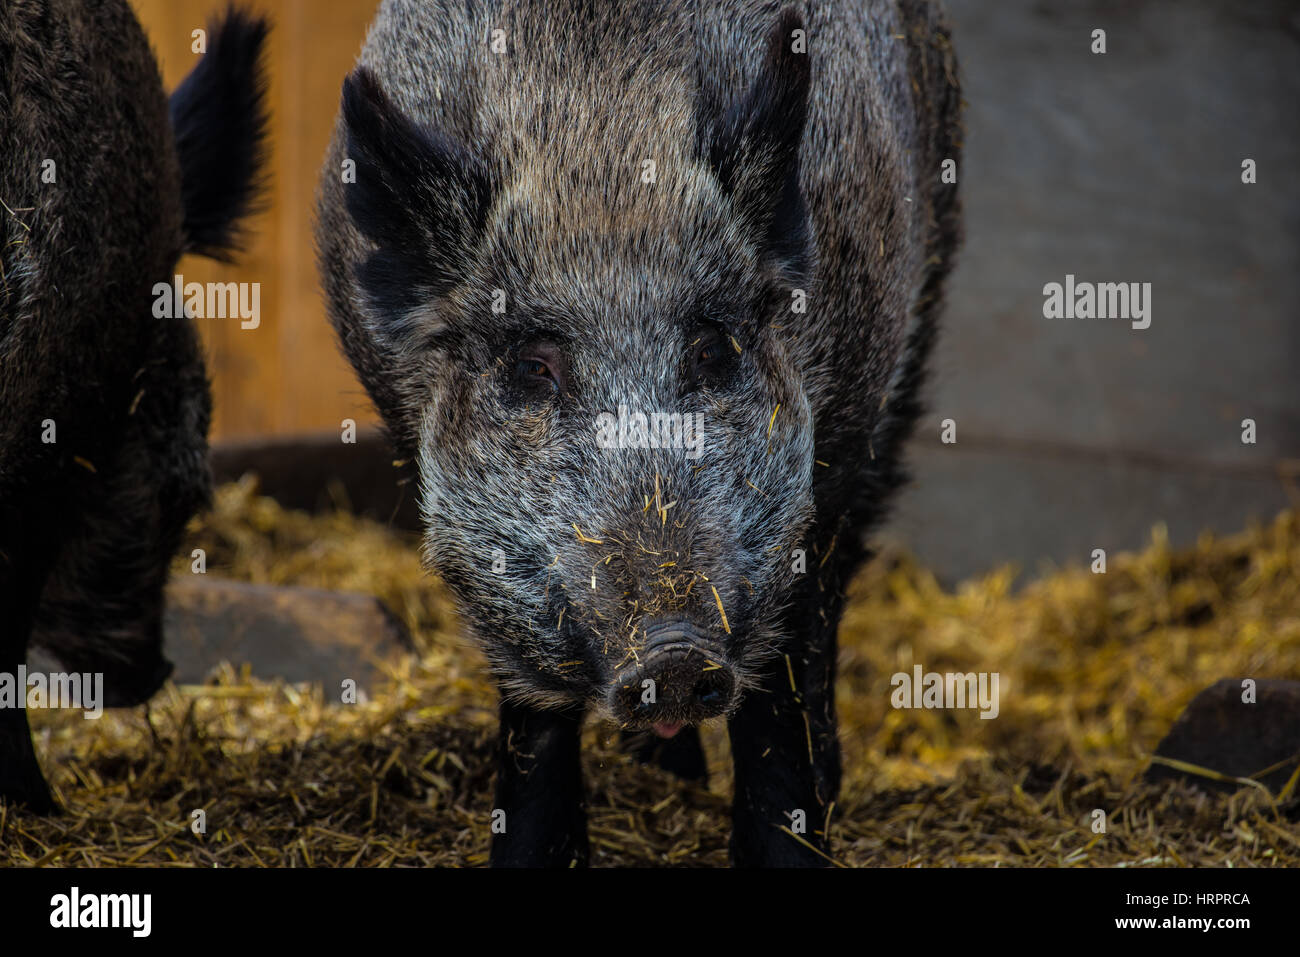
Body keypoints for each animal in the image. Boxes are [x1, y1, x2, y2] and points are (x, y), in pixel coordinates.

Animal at [316, 0, 961, 866]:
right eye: (534, 365)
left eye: (712, 348)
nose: (676, 653)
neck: (603, 136)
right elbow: (532, 708)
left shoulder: (840, 430)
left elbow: (783, 677)